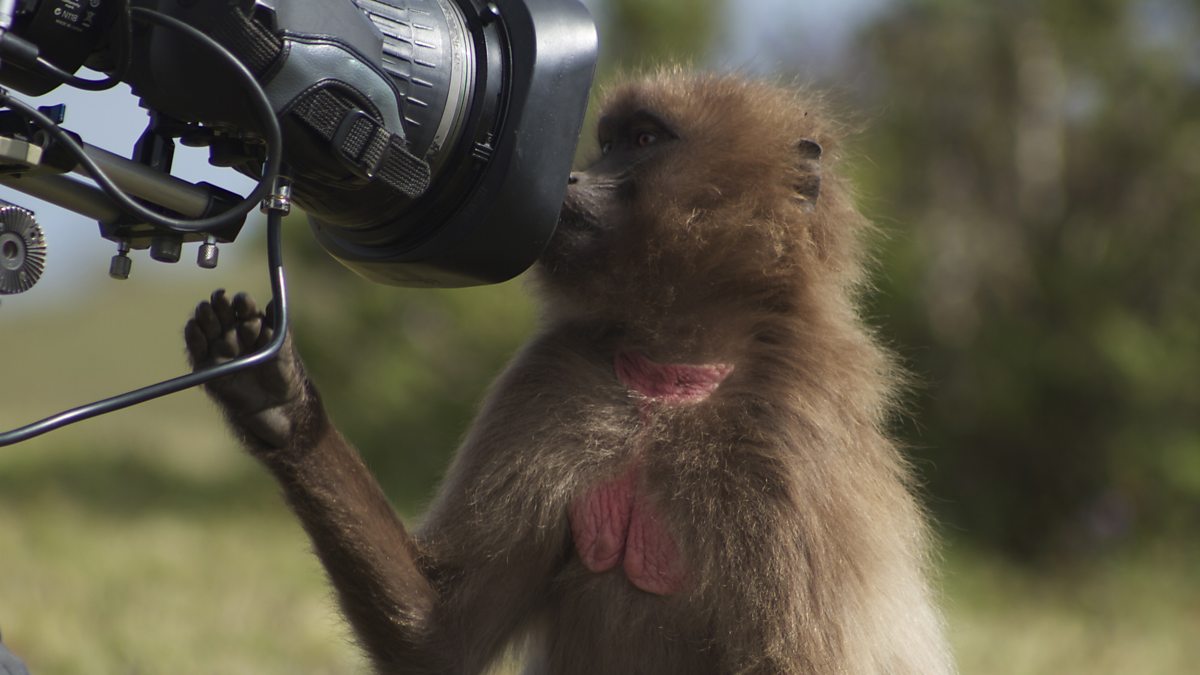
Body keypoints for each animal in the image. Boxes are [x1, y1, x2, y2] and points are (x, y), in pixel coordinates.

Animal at [185, 71, 954, 674]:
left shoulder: (794, 430)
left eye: (642, 141)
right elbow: (438, 636)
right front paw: (277, 402)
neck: (674, 369)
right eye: (607, 141)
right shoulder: (554, 375)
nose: (576, 178)